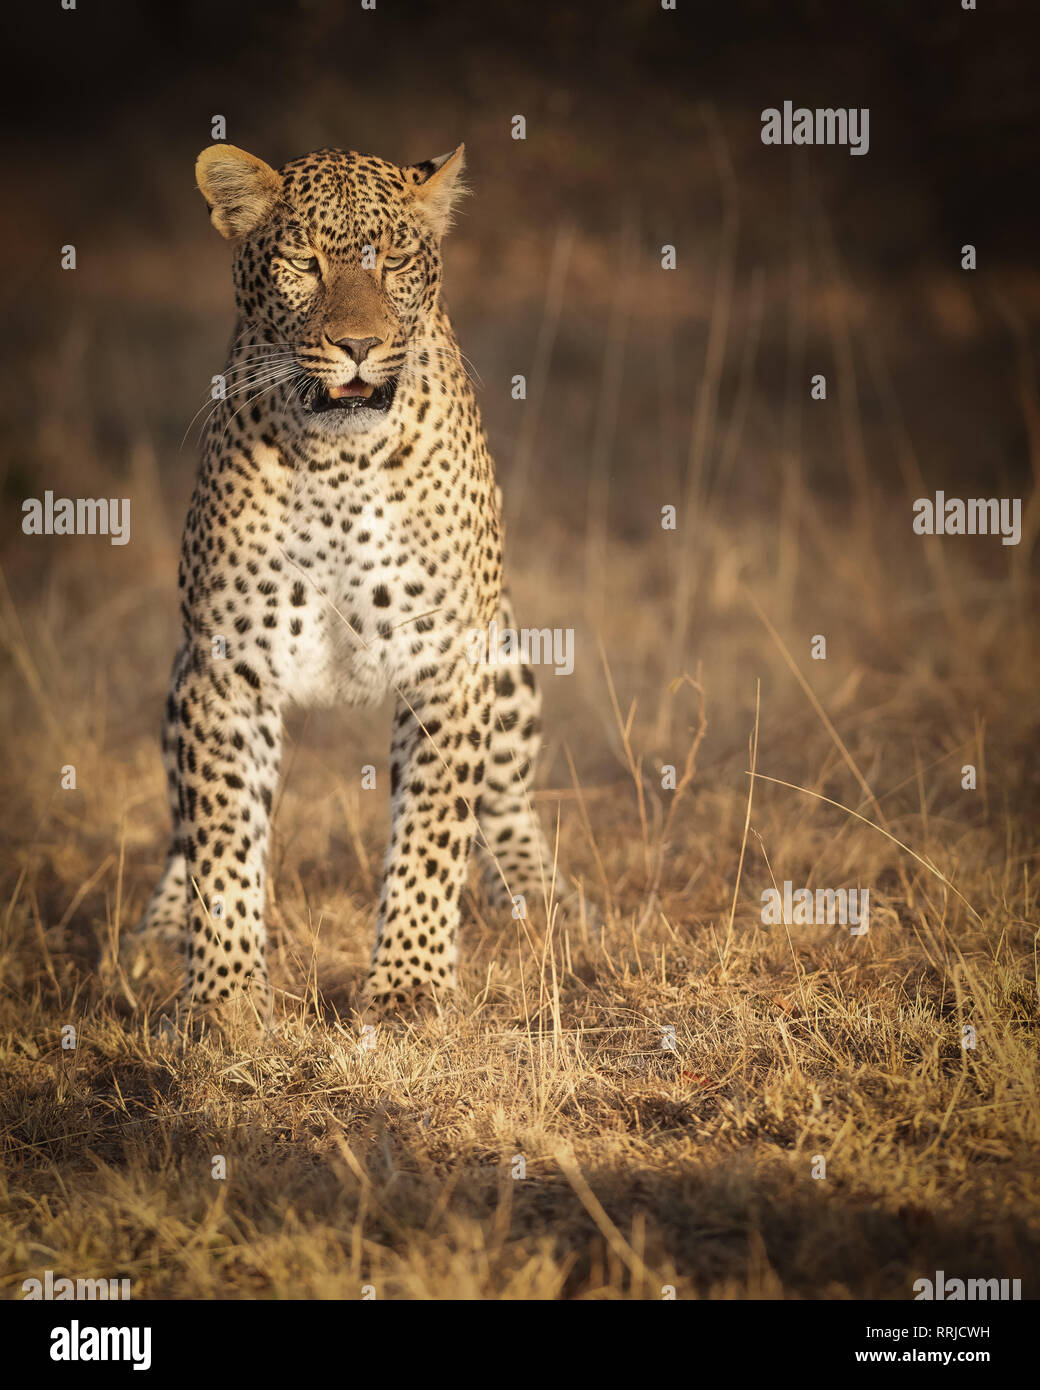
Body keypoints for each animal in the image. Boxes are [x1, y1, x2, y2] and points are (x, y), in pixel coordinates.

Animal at [130, 141, 586, 1026]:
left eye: (397, 260)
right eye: (304, 263)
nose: (358, 345)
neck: (340, 461)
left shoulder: (447, 663)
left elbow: (432, 834)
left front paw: (409, 986)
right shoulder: (225, 670)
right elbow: (222, 836)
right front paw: (223, 998)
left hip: (507, 654)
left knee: (505, 802)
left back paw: (535, 894)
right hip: (179, 676)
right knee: (181, 824)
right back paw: (164, 919)